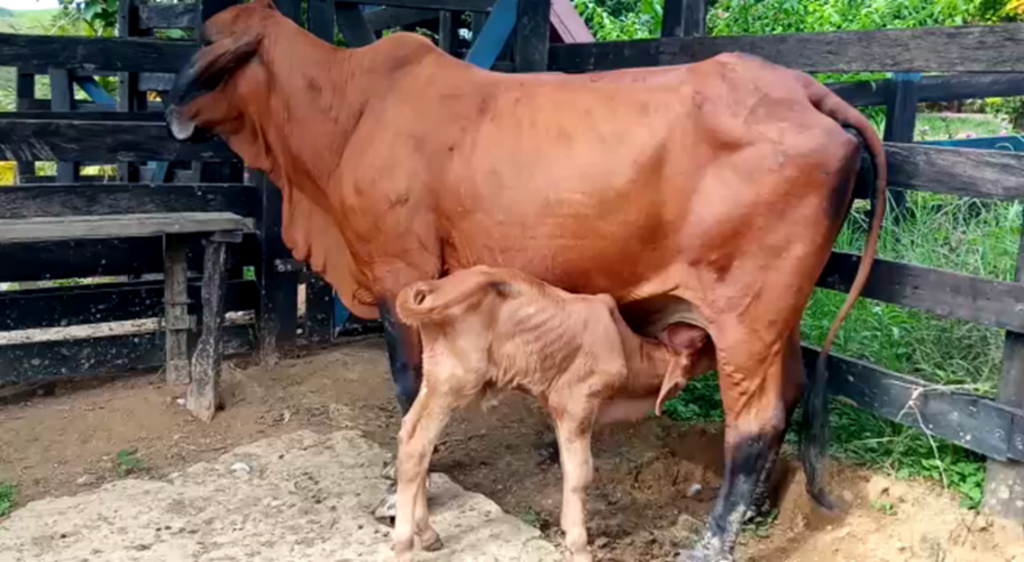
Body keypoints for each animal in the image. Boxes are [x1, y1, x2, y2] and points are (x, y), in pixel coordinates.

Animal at [392, 265, 715, 561]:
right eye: (704, 344)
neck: (629, 352)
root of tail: (435, 287)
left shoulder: (558, 408)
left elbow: (568, 467)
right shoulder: (577, 403)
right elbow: (581, 473)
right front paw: (579, 546)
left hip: (435, 380)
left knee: (409, 432)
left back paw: (427, 532)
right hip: (455, 382)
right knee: (417, 446)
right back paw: (405, 544)